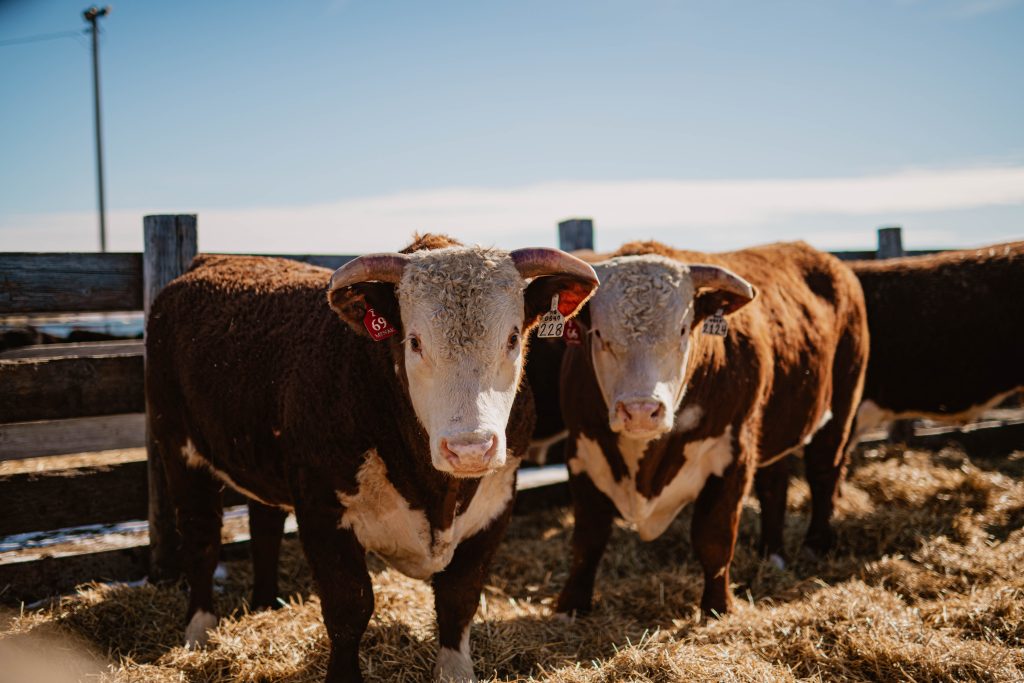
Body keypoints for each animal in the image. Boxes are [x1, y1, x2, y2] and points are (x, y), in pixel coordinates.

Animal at [145, 234, 598, 682]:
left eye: (513, 338)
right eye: (414, 341)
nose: (470, 447)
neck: (437, 494)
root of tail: (206, 262)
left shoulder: (495, 507)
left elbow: (459, 599)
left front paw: (455, 672)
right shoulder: (322, 509)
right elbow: (349, 606)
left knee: (265, 525)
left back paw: (265, 604)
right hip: (178, 447)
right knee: (202, 539)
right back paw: (199, 632)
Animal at [554, 240, 868, 618]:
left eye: (682, 331)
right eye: (599, 334)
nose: (642, 411)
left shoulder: (733, 454)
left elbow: (714, 538)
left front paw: (718, 607)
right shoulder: (582, 454)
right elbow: (588, 539)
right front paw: (571, 606)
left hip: (843, 403)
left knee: (824, 472)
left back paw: (815, 546)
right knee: (774, 485)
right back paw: (772, 555)